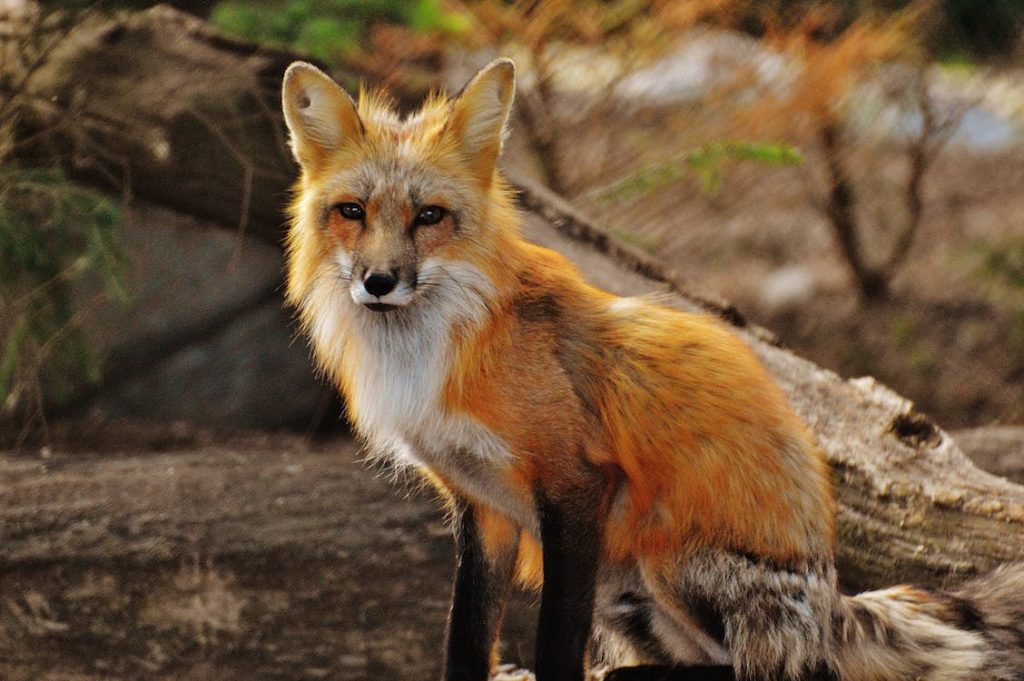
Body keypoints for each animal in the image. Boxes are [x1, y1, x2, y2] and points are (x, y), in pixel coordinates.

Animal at [280, 57, 1024, 681]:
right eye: (352, 212)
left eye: (430, 216)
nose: (378, 282)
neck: (437, 347)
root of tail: (837, 600)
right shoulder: (480, 506)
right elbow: (465, 638)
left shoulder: (576, 485)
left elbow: (556, 640)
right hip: (625, 591)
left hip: (665, 558)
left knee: (774, 671)